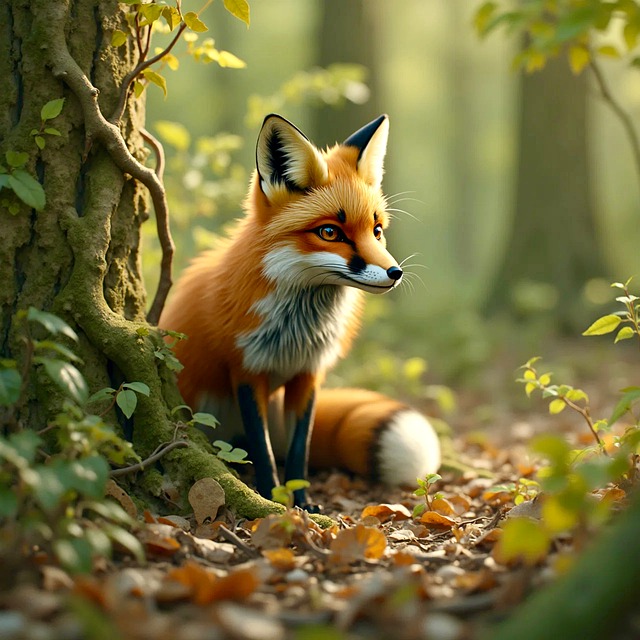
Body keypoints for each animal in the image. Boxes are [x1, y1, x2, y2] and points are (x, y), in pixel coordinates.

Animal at [159, 113, 441, 508]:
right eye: (330, 232)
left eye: (377, 230)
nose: (395, 272)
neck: (296, 334)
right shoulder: (247, 371)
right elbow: (263, 451)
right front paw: (272, 498)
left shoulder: (309, 373)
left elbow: (298, 449)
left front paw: (302, 501)